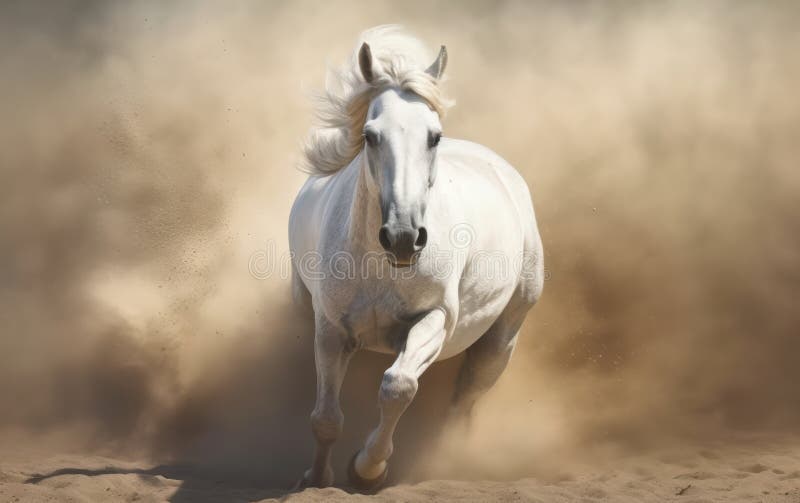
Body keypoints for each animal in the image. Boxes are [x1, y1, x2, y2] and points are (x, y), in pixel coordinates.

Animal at [288, 26, 544, 490]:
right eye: (371, 135)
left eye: (433, 136)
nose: (403, 238)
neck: (380, 268)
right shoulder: (330, 328)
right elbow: (326, 418)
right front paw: (315, 477)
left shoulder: (435, 319)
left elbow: (398, 387)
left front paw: (366, 468)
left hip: (501, 340)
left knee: (464, 401)